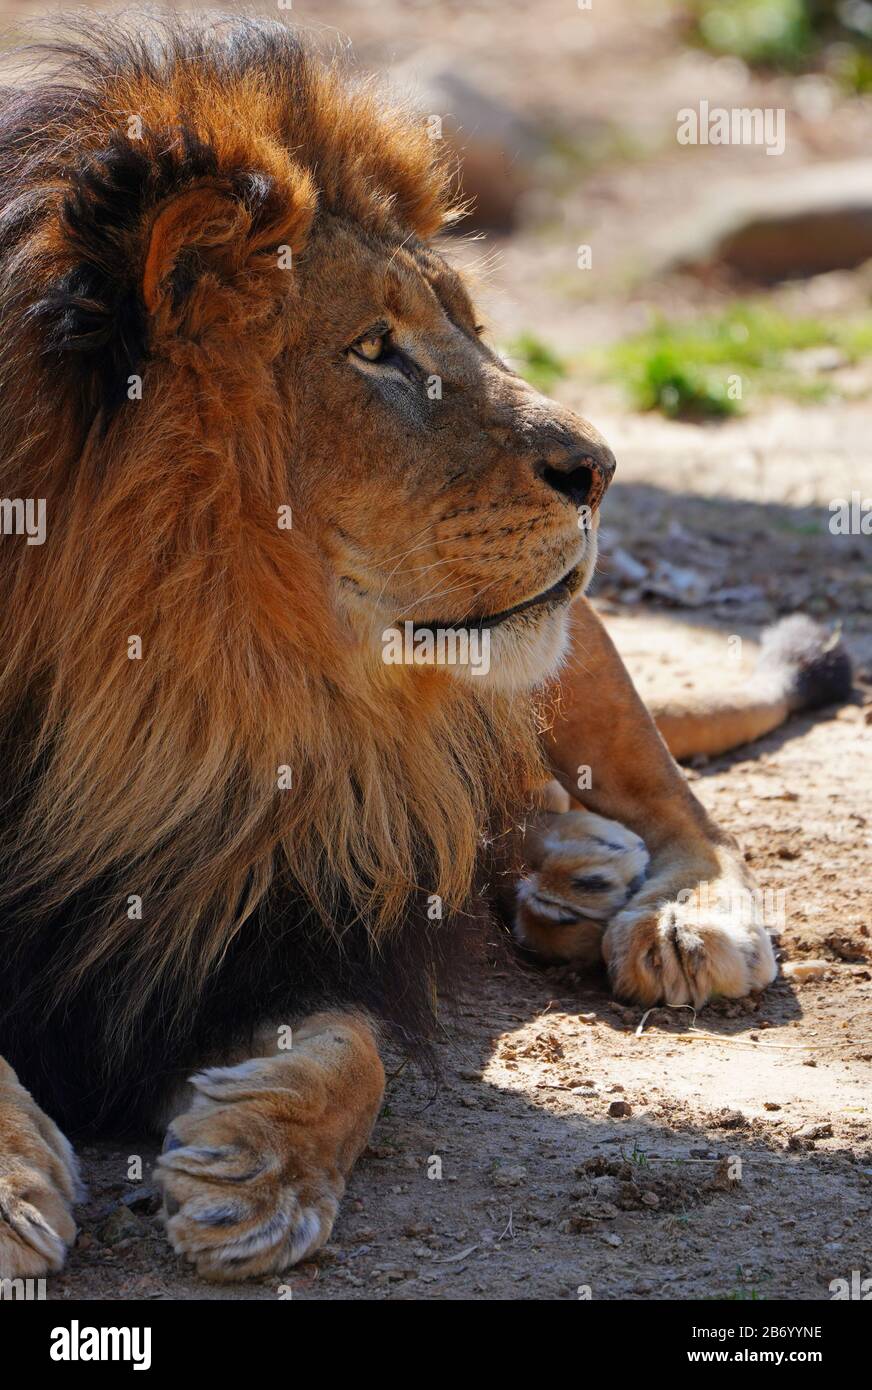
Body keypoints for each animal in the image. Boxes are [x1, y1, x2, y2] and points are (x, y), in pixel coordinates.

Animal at [0, 14, 851, 1283]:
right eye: (374, 349)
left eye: (470, 329)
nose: (601, 468)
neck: (179, 705)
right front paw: (13, 1188)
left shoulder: (283, 924)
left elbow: (348, 1050)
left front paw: (257, 1171)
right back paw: (564, 868)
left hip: (565, 642)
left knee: (671, 798)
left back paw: (664, 905)